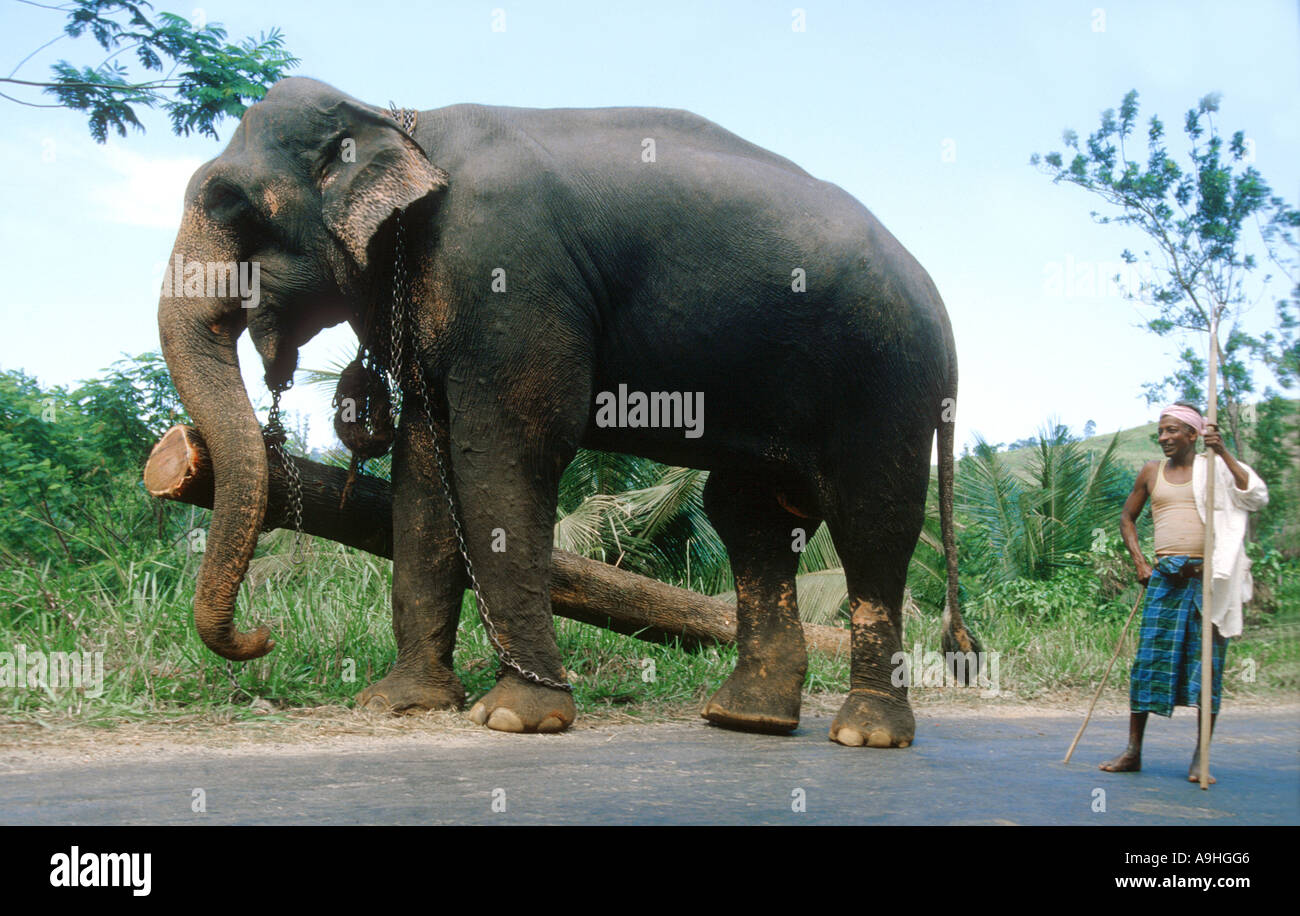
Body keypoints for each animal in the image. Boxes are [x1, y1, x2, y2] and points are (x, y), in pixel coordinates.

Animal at [158, 76, 980, 747]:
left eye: (232, 206)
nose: (263, 636)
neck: (403, 122)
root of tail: (940, 305)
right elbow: (424, 470)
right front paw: (399, 704)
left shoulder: (508, 270)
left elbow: (506, 451)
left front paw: (515, 718)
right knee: (748, 514)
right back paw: (744, 718)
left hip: (886, 373)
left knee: (870, 512)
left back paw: (865, 734)